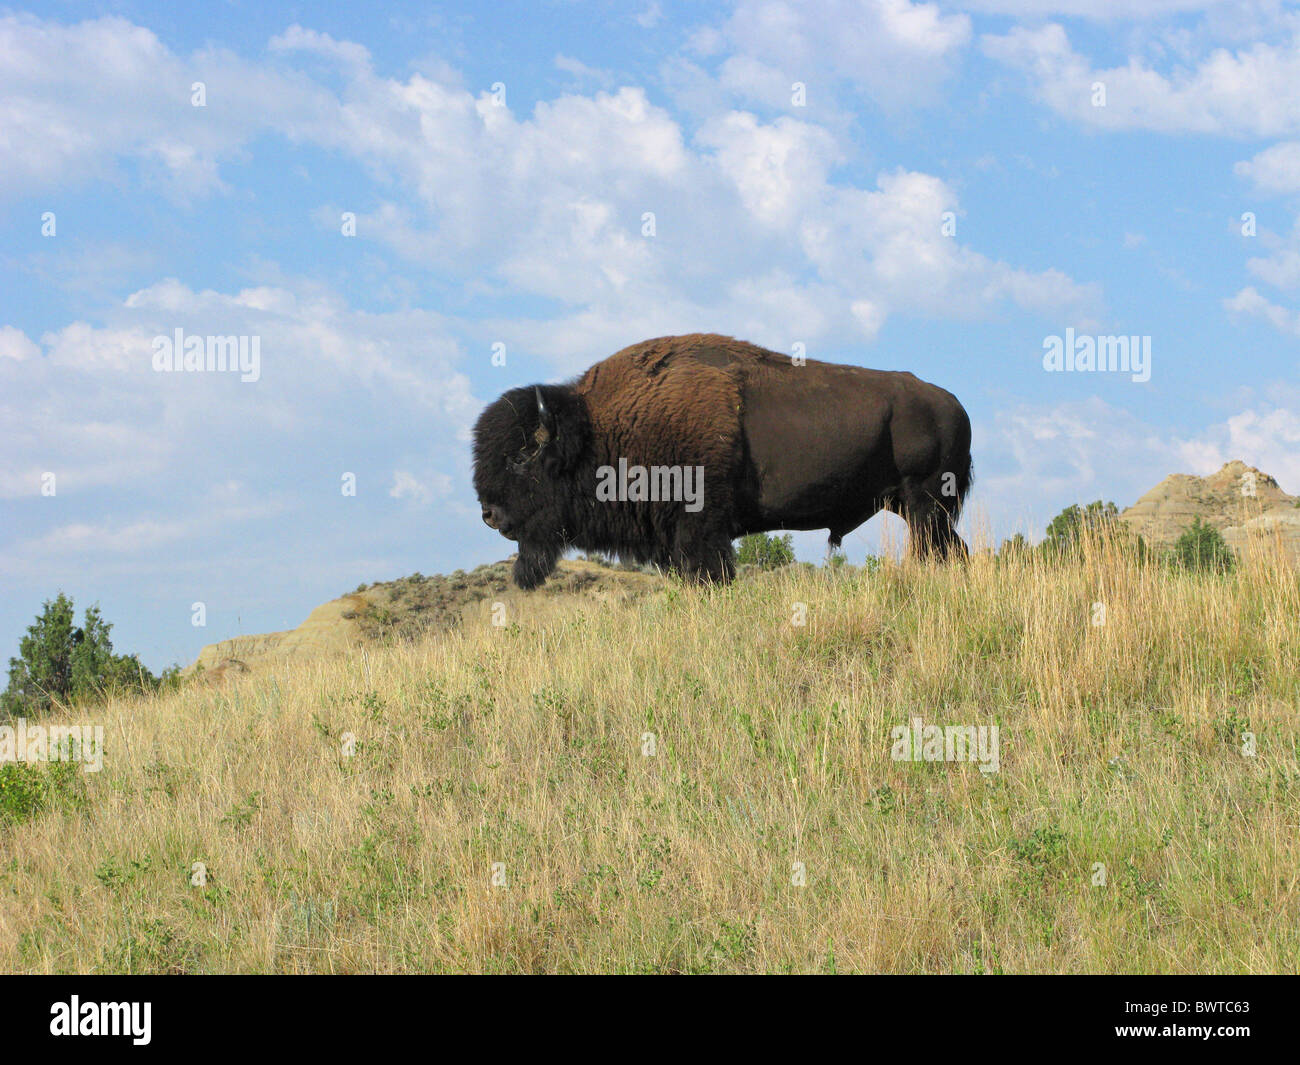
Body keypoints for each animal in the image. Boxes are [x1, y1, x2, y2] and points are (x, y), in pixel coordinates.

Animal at [473, 334, 973, 589]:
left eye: (520, 458)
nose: (489, 513)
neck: (600, 427)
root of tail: (952, 405)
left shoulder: (701, 528)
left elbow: (711, 573)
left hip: (927, 506)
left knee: (938, 553)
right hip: (919, 510)